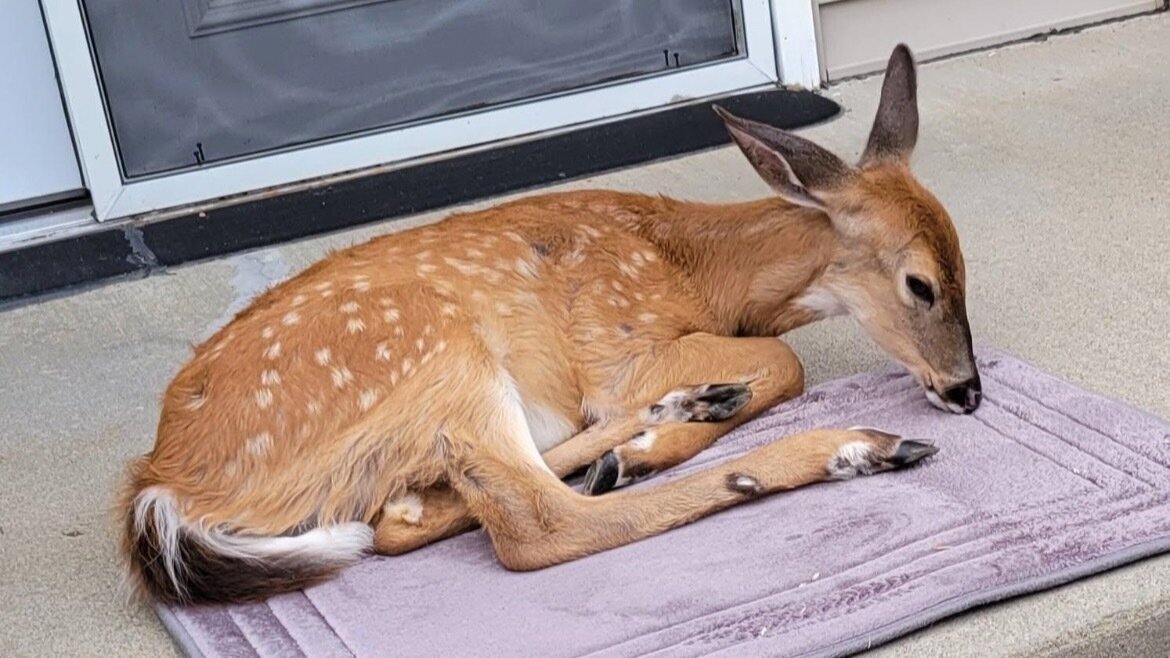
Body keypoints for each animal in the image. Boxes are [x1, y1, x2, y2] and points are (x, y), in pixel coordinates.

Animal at [118, 44, 979, 606]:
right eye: (920, 283)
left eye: (965, 262)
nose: (967, 390)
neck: (693, 267)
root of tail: (162, 486)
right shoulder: (621, 348)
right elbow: (782, 360)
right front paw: (659, 434)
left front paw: (658, 431)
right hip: (440, 351)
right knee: (537, 527)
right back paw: (842, 445)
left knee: (402, 517)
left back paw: (676, 420)